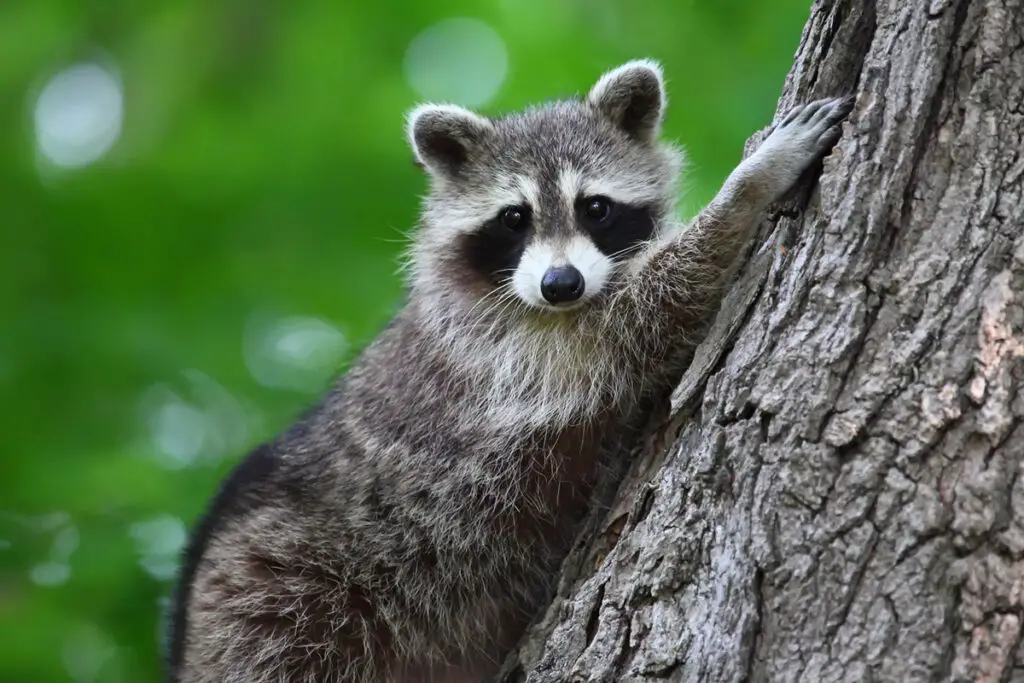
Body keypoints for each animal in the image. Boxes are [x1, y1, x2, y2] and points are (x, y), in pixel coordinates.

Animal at [166, 60, 853, 683]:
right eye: (514, 218)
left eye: (595, 208)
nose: (560, 284)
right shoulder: (503, 350)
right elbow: (639, 317)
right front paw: (748, 186)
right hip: (280, 609)